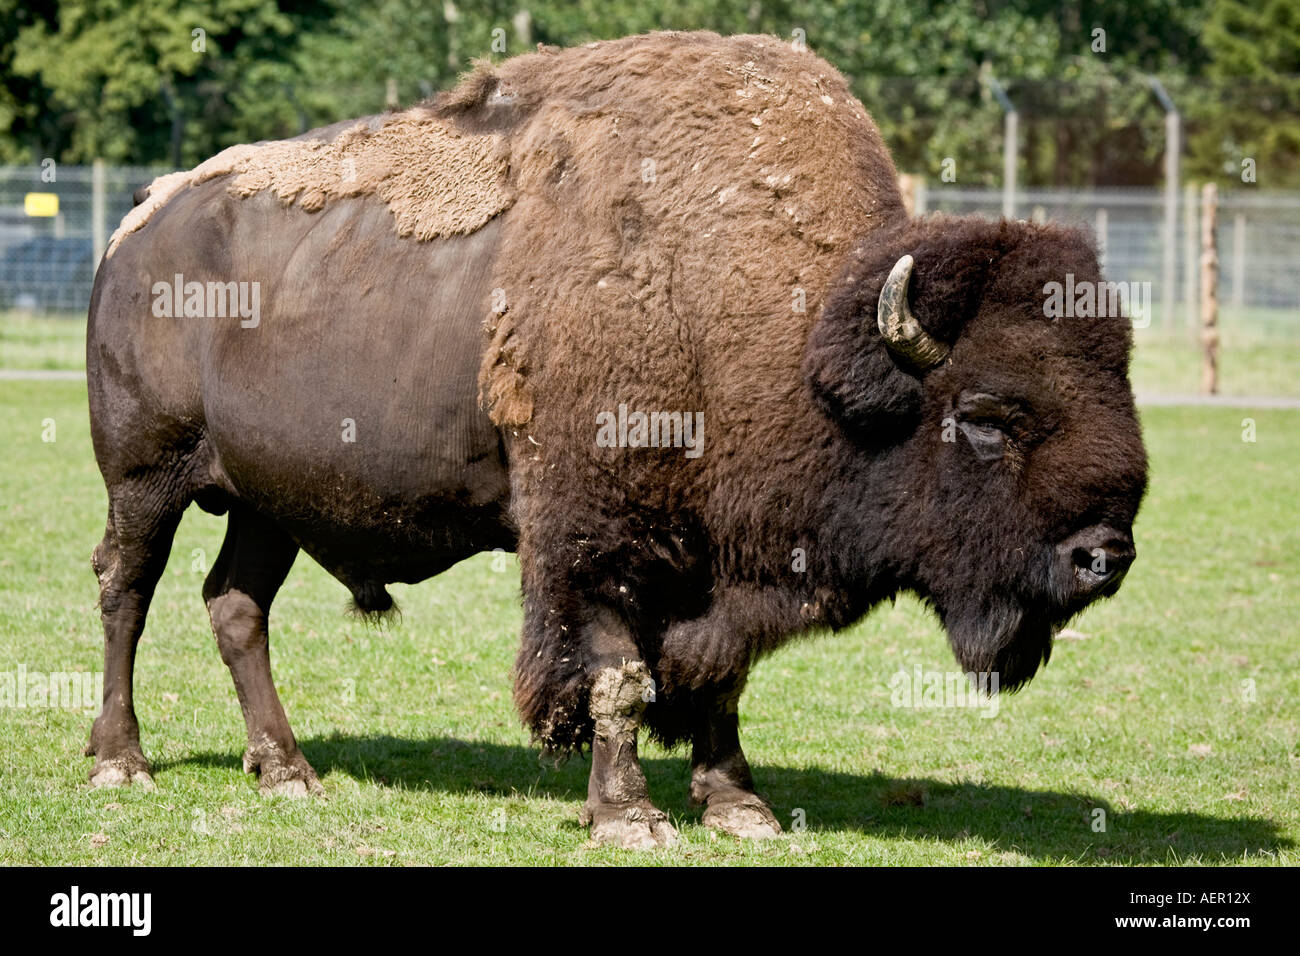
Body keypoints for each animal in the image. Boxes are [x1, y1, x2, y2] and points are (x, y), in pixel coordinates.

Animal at [85, 31, 1147, 848]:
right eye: (986, 417)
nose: (1105, 556)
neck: (771, 330)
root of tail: (138, 224)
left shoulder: (716, 561)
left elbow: (717, 679)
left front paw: (740, 808)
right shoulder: (594, 540)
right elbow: (618, 676)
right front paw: (630, 817)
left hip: (270, 499)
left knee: (235, 606)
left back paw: (287, 772)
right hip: (148, 475)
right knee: (126, 589)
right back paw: (120, 763)